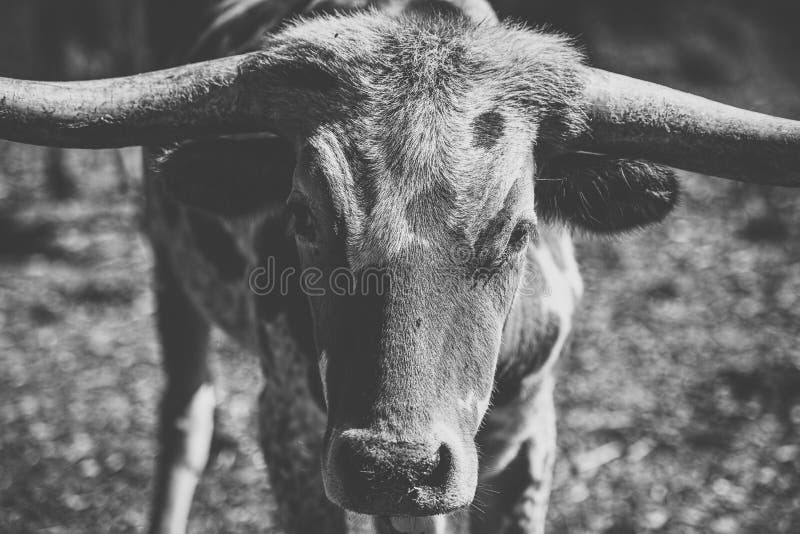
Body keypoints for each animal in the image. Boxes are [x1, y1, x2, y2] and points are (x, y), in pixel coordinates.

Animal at [0, 0, 798, 533]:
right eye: (303, 218)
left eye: (519, 231)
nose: (394, 465)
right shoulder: (291, 434)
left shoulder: (529, 444)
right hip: (170, 267)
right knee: (185, 420)